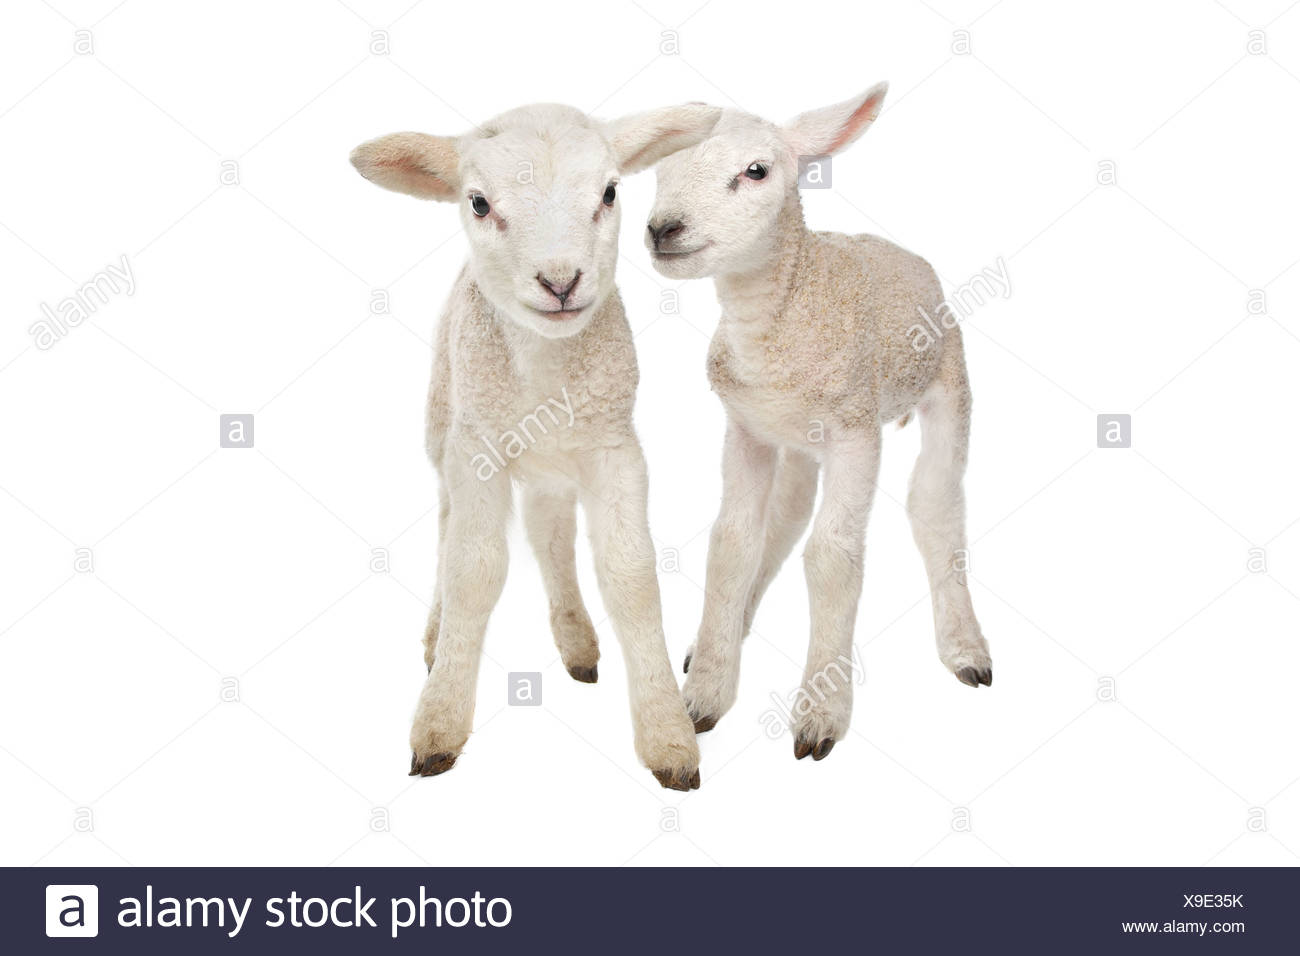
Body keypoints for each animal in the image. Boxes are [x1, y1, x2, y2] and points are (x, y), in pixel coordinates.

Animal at [350, 101, 721, 790]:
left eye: (609, 192)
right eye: (477, 203)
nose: (560, 281)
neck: (547, 370)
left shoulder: (615, 444)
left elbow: (630, 573)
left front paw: (667, 737)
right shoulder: (476, 448)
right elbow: (471, 569)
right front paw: (439, 721)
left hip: (553, 466)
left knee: (550, 535)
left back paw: (576, 642)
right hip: (443, 424)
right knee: (447, 527)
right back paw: (437, 636)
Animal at [644, 83, 993, 761]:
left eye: (756, 171)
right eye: (660, 168)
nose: (662, 228)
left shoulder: (855, 431)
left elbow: (833, 557)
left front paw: (821, 712)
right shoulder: (746, 427)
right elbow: (733, 542)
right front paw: (706, 691)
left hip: (950, 384)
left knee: (935, 503)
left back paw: (964, 647)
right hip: (799, 442)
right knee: (786, 516)